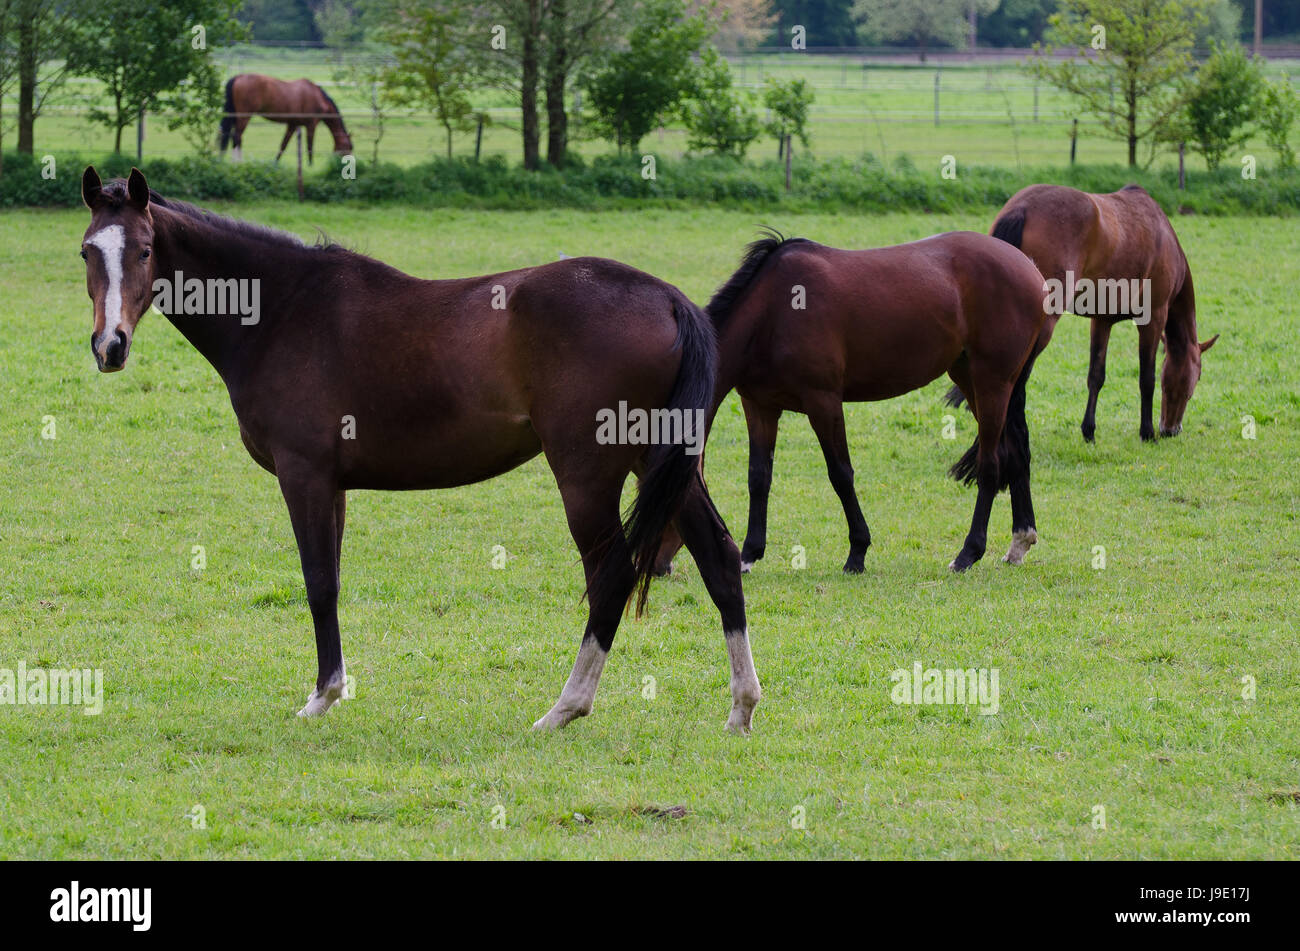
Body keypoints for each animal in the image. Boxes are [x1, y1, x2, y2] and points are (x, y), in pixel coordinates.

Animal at [77, 166, 761, 735]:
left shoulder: (304, 476)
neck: (284, 310)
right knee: (719, 557)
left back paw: (565, 708)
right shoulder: (334, 486)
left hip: (588, 475)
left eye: (143, 250)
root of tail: (666, 298)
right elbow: (332, 580)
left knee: (611, 573)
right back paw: (741, 707)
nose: (110, 346)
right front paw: (334, 690)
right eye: (87, 251)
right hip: (661, 464)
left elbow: (318, 582)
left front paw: (321, 698)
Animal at [219, 74, 353, 164]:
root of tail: (238, 77)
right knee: (237, 137)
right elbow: (310, 146)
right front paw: (311, 166)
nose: (347, 162)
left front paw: (275, 163)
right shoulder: (311, 125)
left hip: (237, 117)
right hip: (244, 117)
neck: (317, 97)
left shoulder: (292, 124)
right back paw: (237, 162)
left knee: (236, 137)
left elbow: (283, 145)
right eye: (348, 147)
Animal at [654, 231, 1051, 577]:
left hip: (992, 382)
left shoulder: (823, 402)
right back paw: (1020, 541)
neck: (773, 312)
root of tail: (1029, 268)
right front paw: (750, 554)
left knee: (991, 465)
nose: (656, 565)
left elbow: (841, 474)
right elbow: (759, 477)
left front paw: (857, 553)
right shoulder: (760, 406)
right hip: (973, 379)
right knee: (1014, 451)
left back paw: (968, 553)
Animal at [989, 184, 1217, 442]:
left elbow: (1096, 376)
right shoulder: (1153, 319)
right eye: (1196, 379)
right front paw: (1147, 432)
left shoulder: (1102, 321)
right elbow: (1146, 379)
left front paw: (1088, 430)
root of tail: (1022, 208)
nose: (1170, 430)